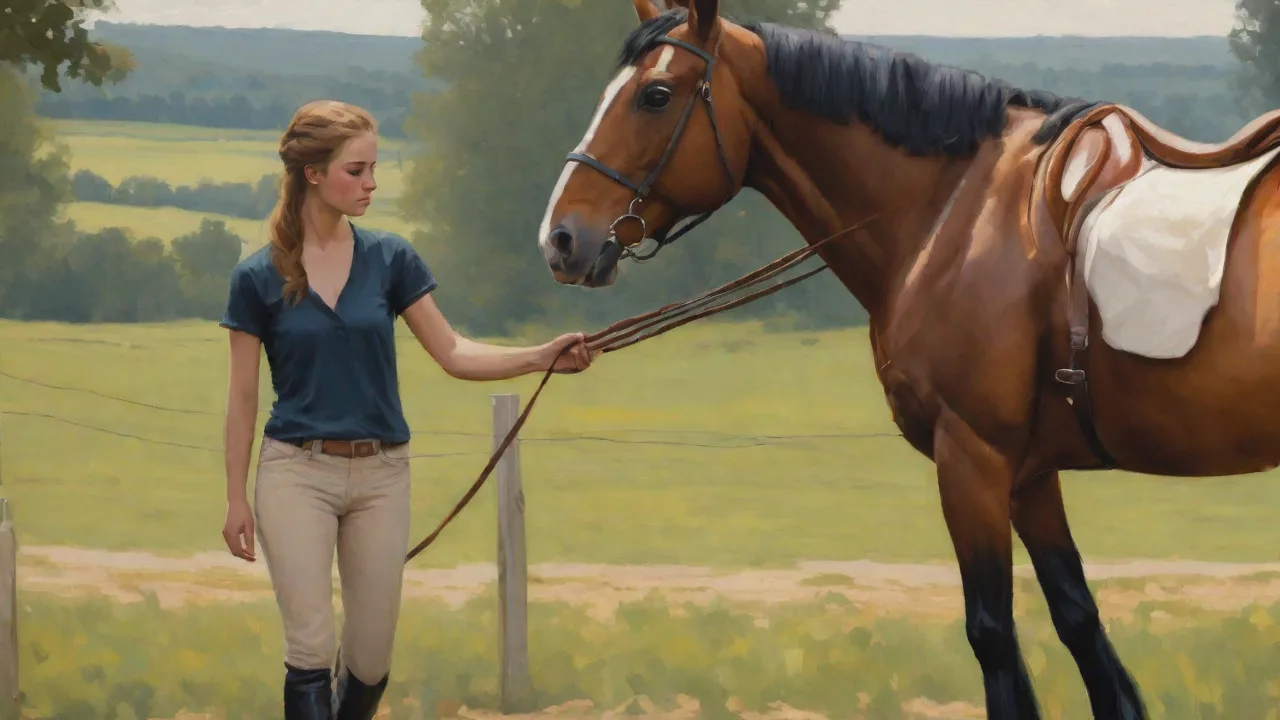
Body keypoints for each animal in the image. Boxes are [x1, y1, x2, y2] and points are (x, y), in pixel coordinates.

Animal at [534, 1, 1280, 717]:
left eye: (655, 95)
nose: (562, 238)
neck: (957, 211)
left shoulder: (971, 457)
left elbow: (993, 634)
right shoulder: (1030, 475)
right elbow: (1082, 628)